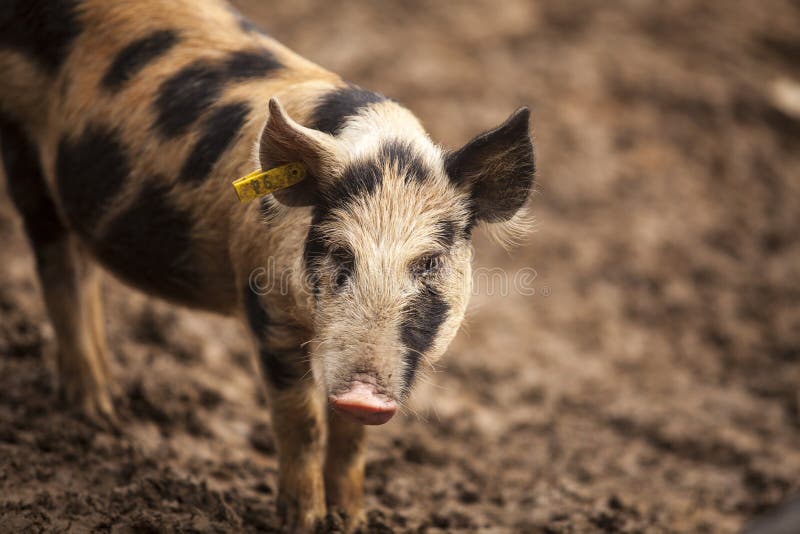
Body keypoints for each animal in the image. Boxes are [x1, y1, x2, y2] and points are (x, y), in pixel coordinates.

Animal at [0, 0, 535, 529]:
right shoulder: (265, 306)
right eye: (340, 253)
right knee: (57, 263)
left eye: (428, 263)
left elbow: (351, 439)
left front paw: (351, 520)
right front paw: (303, 522)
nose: (363, 391)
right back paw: (96, 412)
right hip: (21, 144)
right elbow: (303, 423)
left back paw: (109, 407)